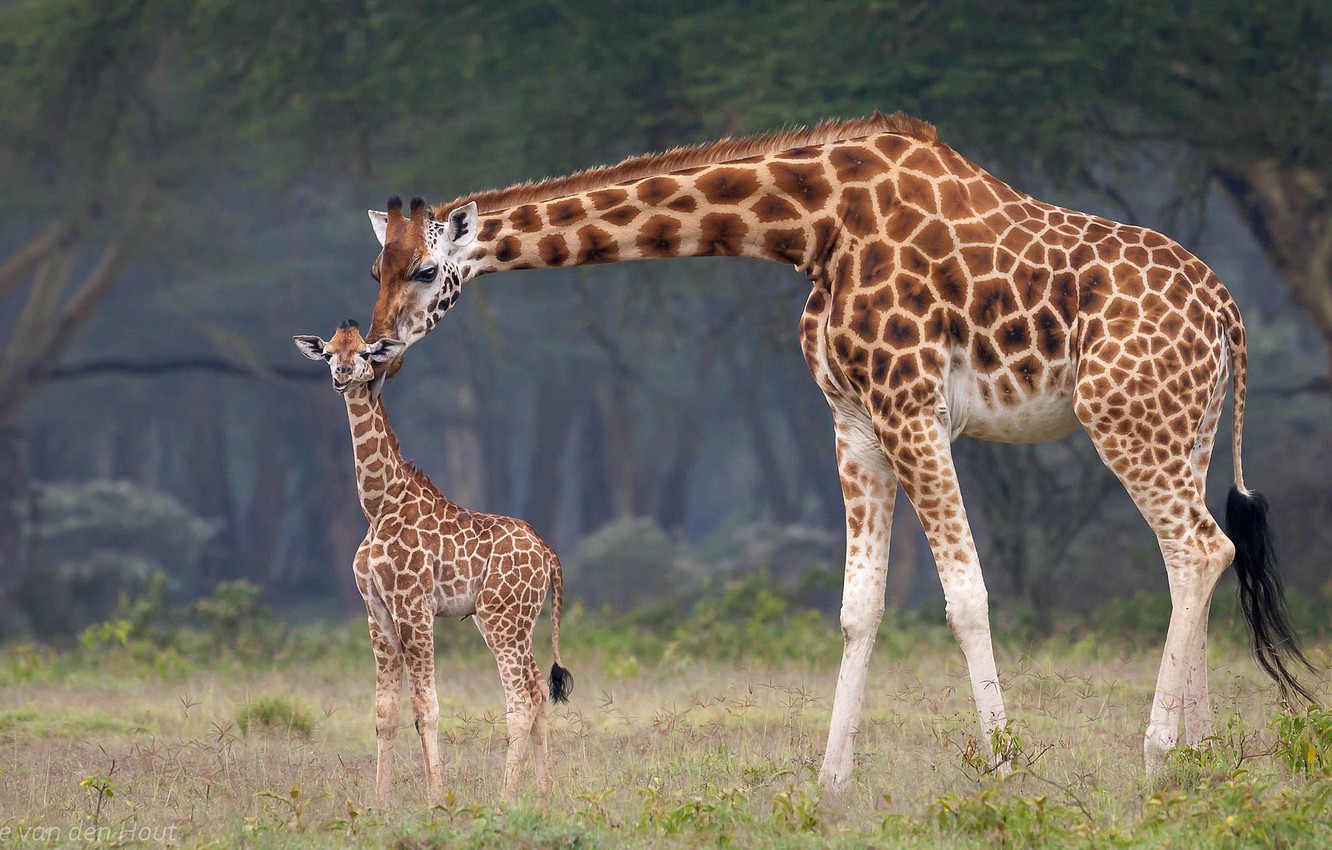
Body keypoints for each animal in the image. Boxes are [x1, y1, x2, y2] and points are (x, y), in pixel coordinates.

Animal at [293, 320, 573, 802]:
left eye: (364, 353)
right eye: (328, 353)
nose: (342, 376)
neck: (378, 505)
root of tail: (549, 553)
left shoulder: (413, 605)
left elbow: (426, 705)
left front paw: (436, 797)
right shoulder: (376, 610)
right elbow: (384, 710)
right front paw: (380, 800)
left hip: (502, 619)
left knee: (520, 697)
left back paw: (505, 798)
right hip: (512, 620)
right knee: (537, 688)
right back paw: (543, 793)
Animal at [360, 114, 1315, 788]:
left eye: (423, 272)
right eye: (375, 271)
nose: (375, 349)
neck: (811, 225)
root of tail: (1229, 310)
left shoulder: (911, 408)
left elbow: (966, 597)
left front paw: (1005, 766)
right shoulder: (852, 421)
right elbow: (860, 607)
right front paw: (830, 782)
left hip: (1125, 418)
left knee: (1199, 548)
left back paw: (1157, 755)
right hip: (1181, 429)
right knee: (1193, 556)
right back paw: (1195, 758)